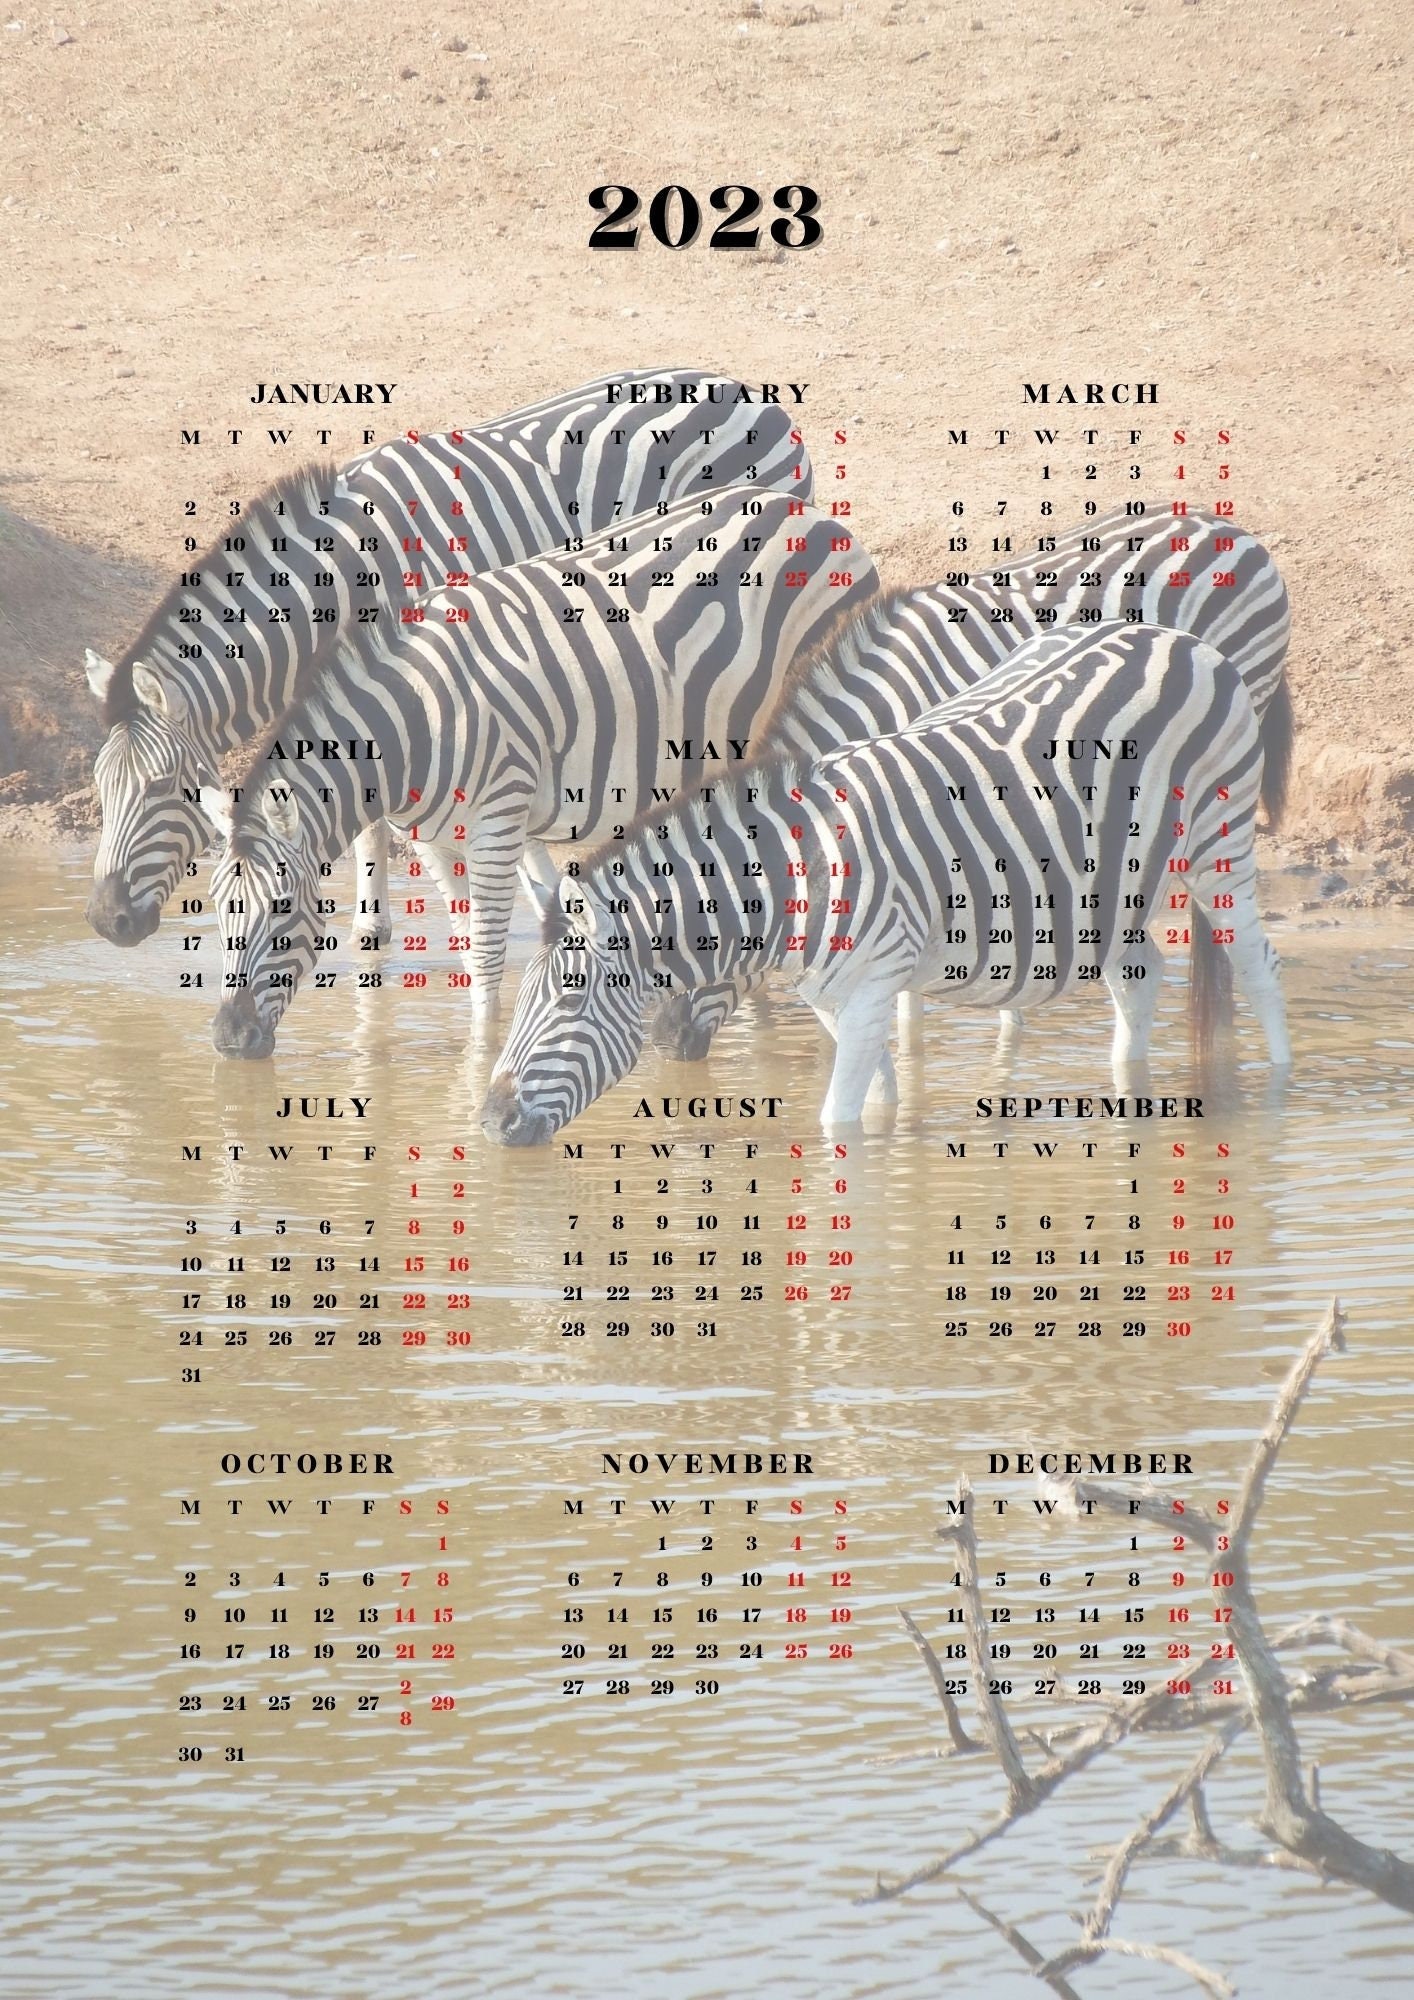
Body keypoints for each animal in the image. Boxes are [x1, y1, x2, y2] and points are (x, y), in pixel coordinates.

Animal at [82, 367, 813, 948]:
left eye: (160, 788)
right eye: (99, 786)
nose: (103, 923)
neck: (340, 581)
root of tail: (746, 388)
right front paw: (375, 930)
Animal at [196, 485, 877, 1058]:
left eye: (282, 910)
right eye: (220, 912)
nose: (227, 1040)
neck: (413, 722)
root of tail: (813, 513)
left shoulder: (498, 820)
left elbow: (488, 957)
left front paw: (480, 1059)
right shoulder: (435, 838)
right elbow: (468, 946)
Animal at [480, 620, 1291, 1143]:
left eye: (570, 1000)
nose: (489, 1122)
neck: (795, 878)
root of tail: (1178, 639)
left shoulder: (873, 985)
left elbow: (838, 1120)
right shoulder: (833, 999)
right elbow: (877, 1102)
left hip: (1221, 843)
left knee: (1257, 967)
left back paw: (1278, 1088)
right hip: (1109, 884)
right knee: (1140, 975)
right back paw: (1130, 1090)